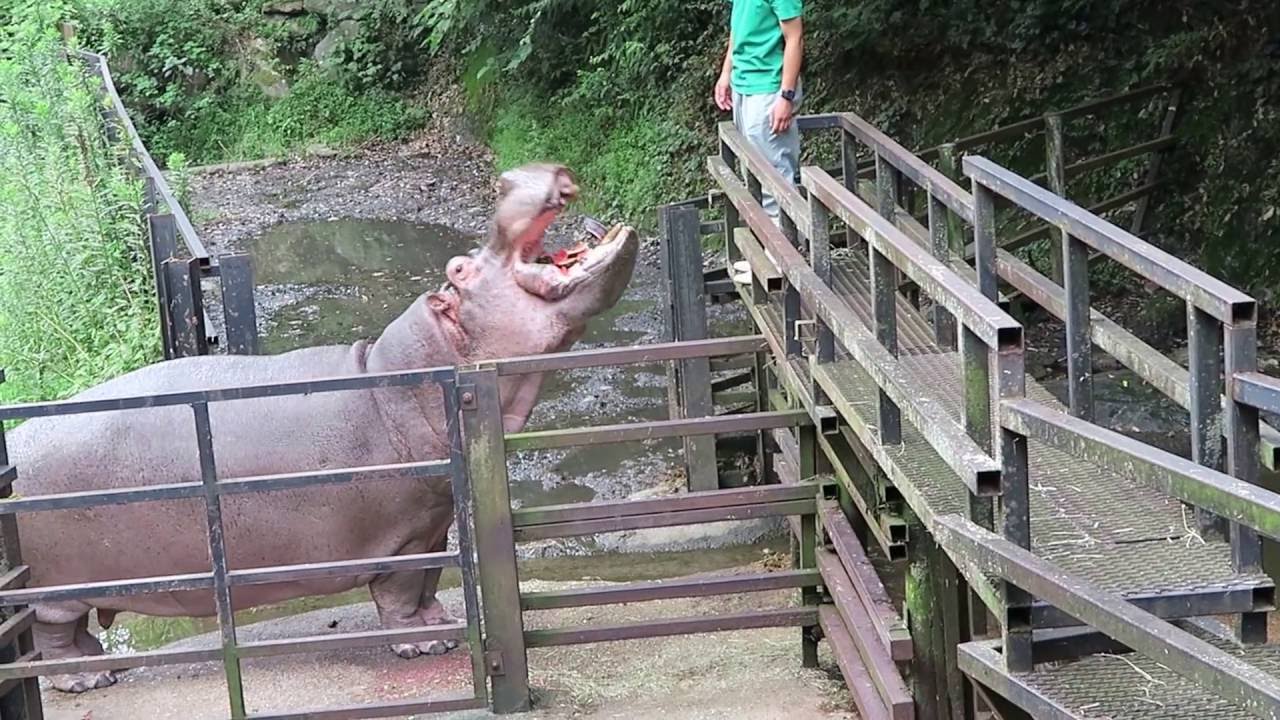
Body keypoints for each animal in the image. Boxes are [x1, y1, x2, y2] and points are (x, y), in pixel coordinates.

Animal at [6, 163, 639, 693]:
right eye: (460, 269)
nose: (511, 178)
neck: (398, 376)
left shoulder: (433, 524)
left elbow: (432, 579)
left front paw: (444, 623)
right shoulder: (401, 538)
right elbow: (401, 591)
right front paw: (425, 644)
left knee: (70, 632)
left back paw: (103, 666)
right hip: (55, 587)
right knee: (52, 635)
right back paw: (86, 680)